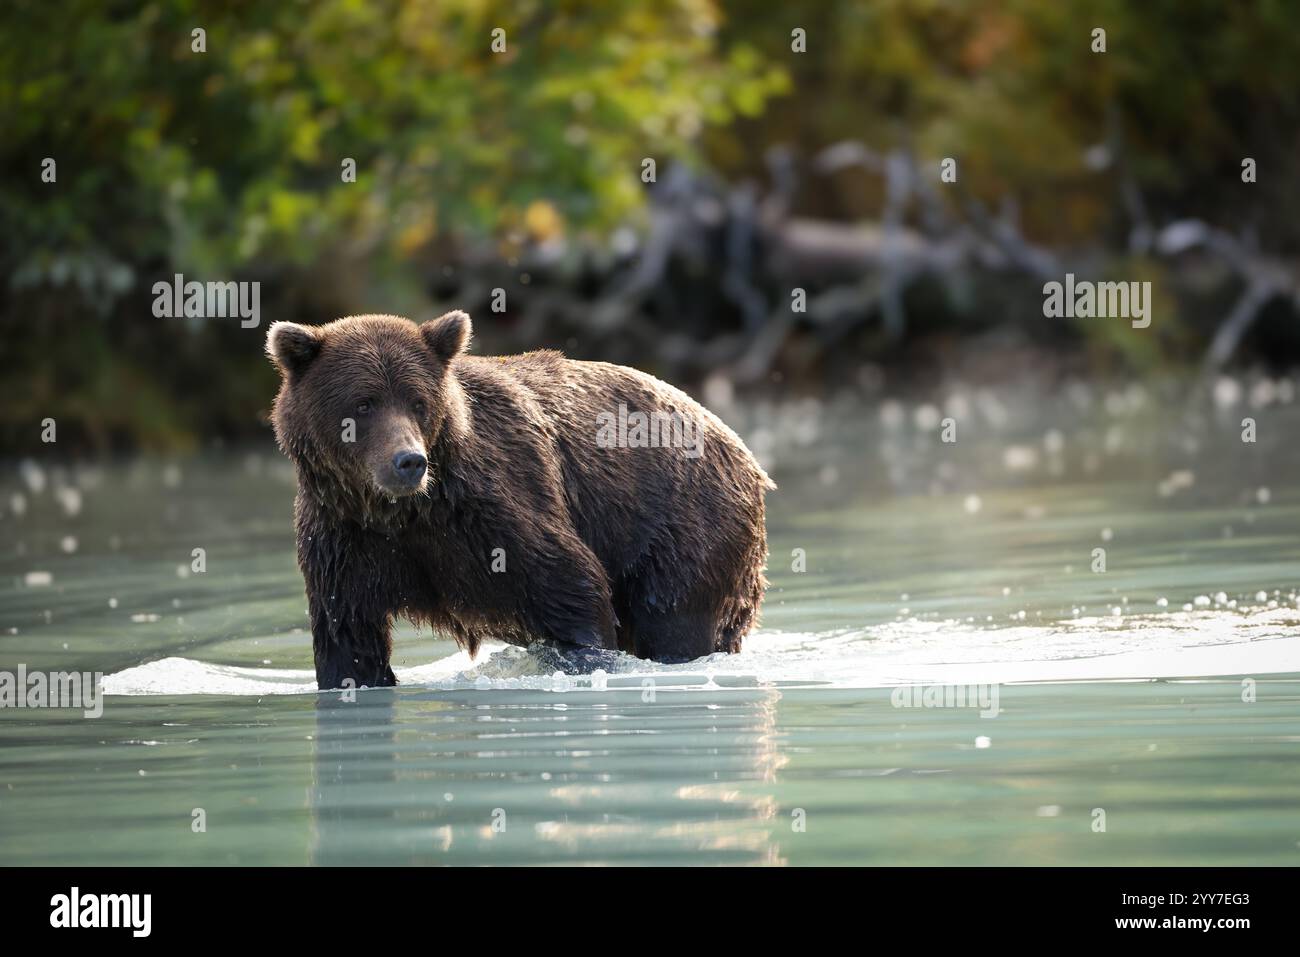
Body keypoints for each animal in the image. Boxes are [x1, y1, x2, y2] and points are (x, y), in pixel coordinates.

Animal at [266, 311, 774, 690]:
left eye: (417, 402)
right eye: (364, 403)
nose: (409, 461)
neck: (402, 512)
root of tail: (742, 449)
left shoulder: (494, 506)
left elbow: (569, 585)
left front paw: (585, 656)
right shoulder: (343, 536)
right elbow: (348, 638)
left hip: (686, 521)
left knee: (673, 618)